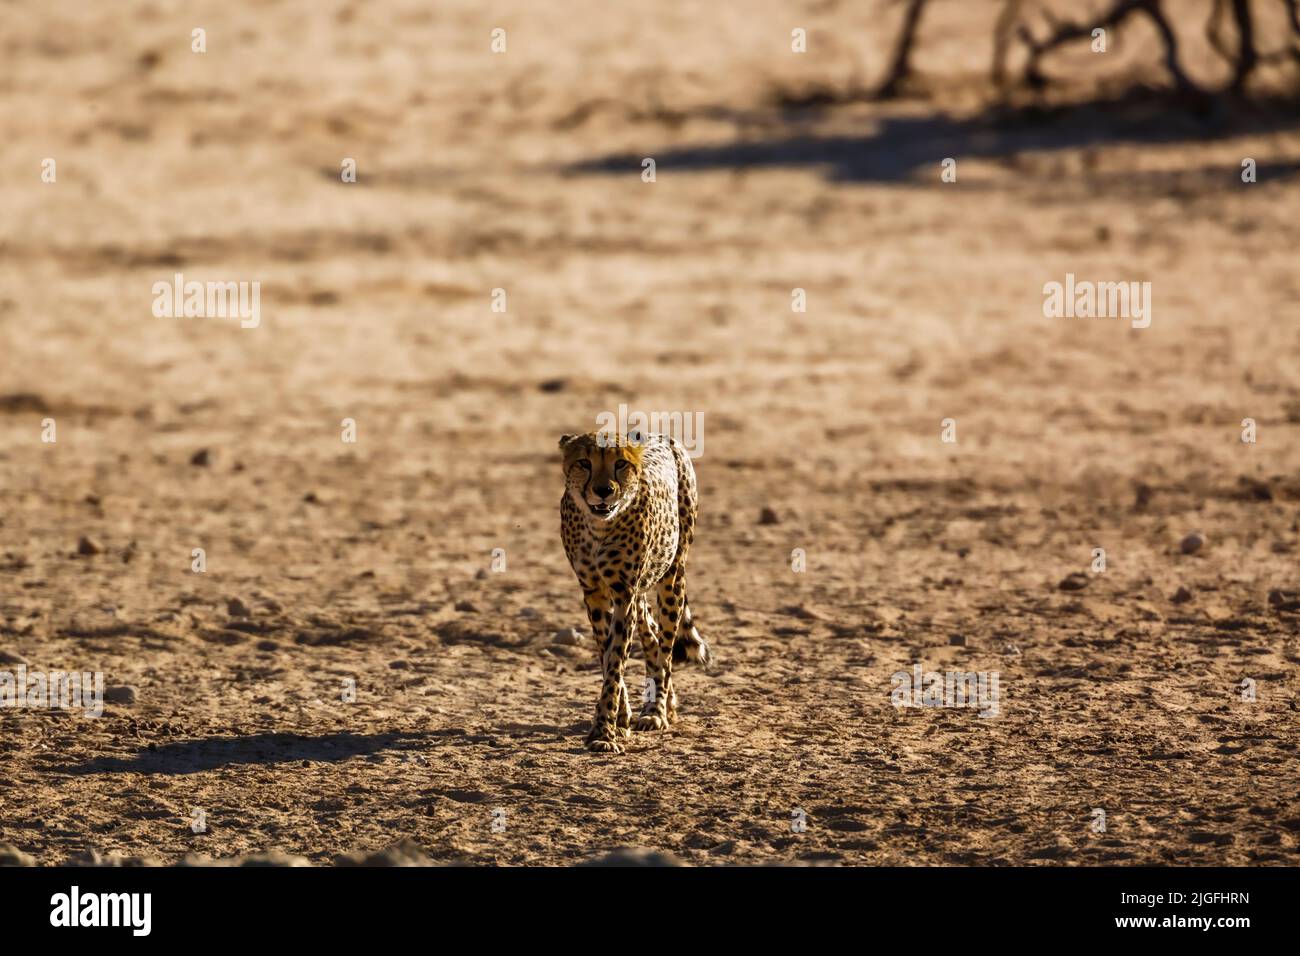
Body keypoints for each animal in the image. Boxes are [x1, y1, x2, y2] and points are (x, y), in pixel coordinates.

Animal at [558, 431, 712, 753]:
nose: (603, 491)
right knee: (651, 635)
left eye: (620, 464)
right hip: (642, 590)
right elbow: (606, 655)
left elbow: (615, 660)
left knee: (664, 647)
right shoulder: (594, 593)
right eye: (584, 463)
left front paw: (603, 732)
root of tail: (661, 435)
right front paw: (617, 719)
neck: (598, 528)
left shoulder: (623, 593)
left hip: (673, 575)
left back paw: (656, 711)